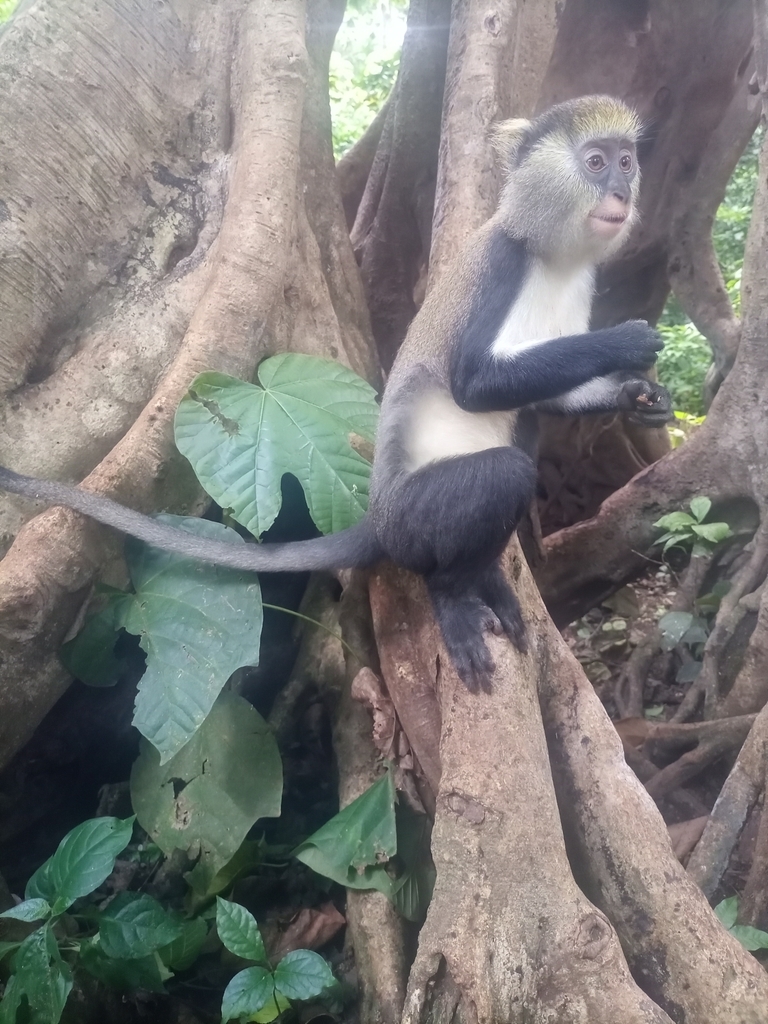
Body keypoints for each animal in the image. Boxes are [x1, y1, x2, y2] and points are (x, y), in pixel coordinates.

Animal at [0, 95, 671, 693]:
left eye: (626, 161)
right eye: (595, 162)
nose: (622, 193)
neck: (553, 256)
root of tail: (377, 519)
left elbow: (545, 403)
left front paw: (641, 396)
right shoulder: (502, 263)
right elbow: (474, 384)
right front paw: (629, 341)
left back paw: (489, 582)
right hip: (413, 523)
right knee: (503, 474)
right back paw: (454, 594)